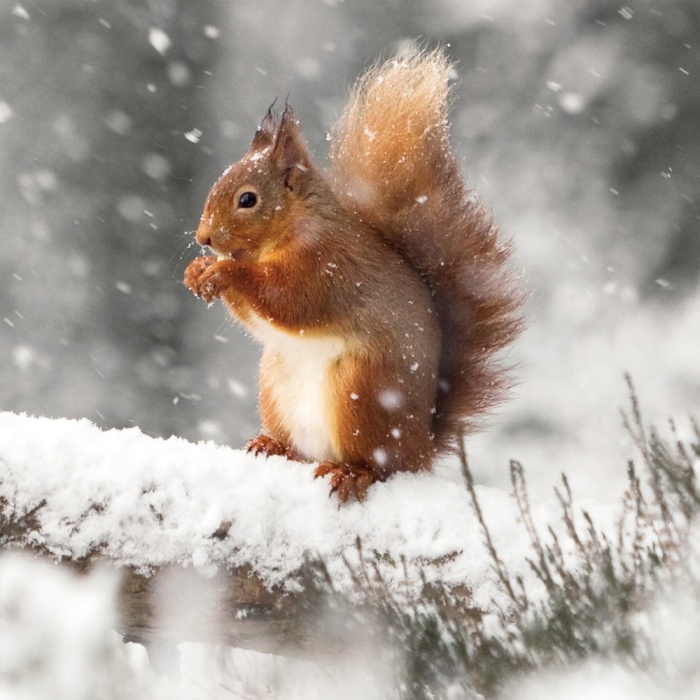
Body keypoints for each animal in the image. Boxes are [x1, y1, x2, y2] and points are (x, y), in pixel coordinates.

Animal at [184, 47, 523, 503]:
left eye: (248, 199)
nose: (203, 238)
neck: (298, 226)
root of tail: (421, 448)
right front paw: (197, 270)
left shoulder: (326, 268)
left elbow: (288, 301)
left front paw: (225, 271)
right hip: (275, 385)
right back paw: (273, 444)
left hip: (361, 392)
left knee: (380, 465)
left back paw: (354, 472)